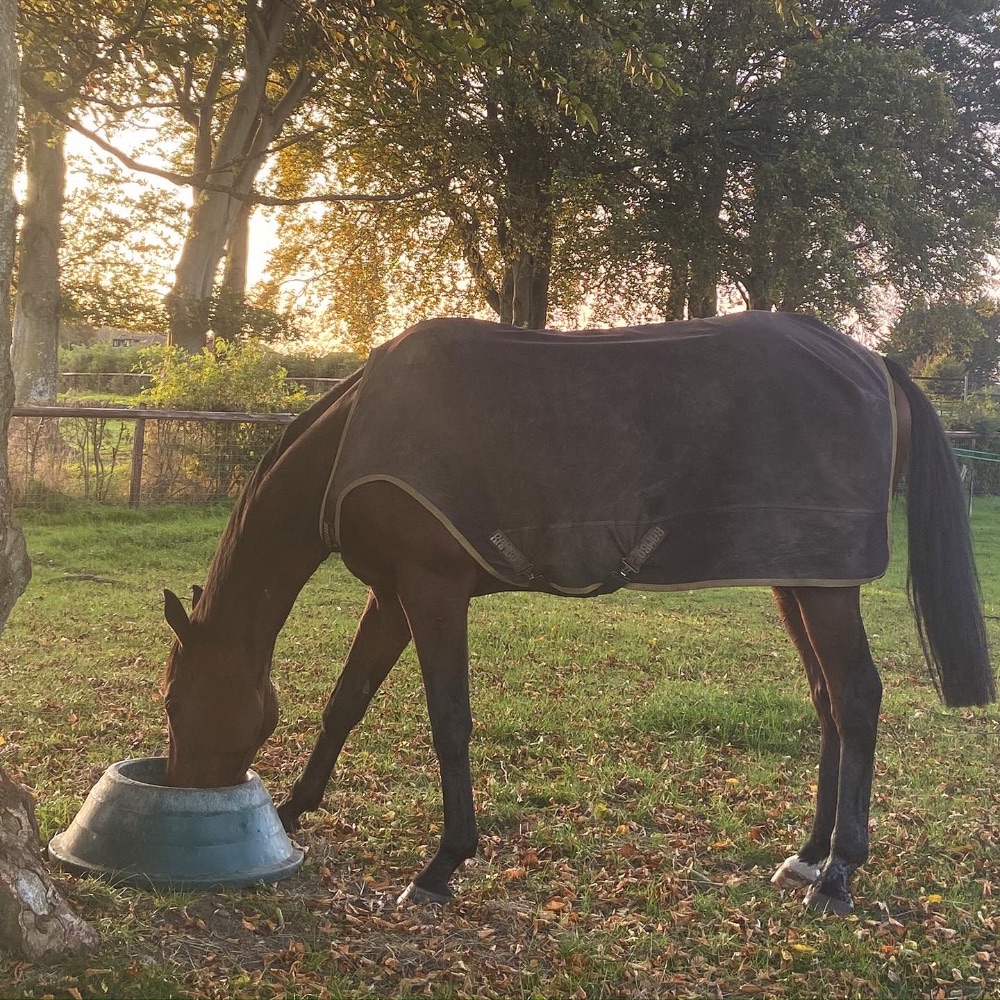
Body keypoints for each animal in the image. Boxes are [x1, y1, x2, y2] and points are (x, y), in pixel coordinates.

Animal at [161, 311, 994, 917]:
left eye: (172, 701)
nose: (184, 788)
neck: (355, 440)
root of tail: (875, 365)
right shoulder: (392, 594)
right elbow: (346, 703)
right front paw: (296, 809)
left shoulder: (432, 588)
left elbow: (448, 722)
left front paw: (440, 867)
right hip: (799, 575)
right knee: (827, 702)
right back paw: (808, 854)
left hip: (826, 585)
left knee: (856, 699)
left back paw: (839, 876)